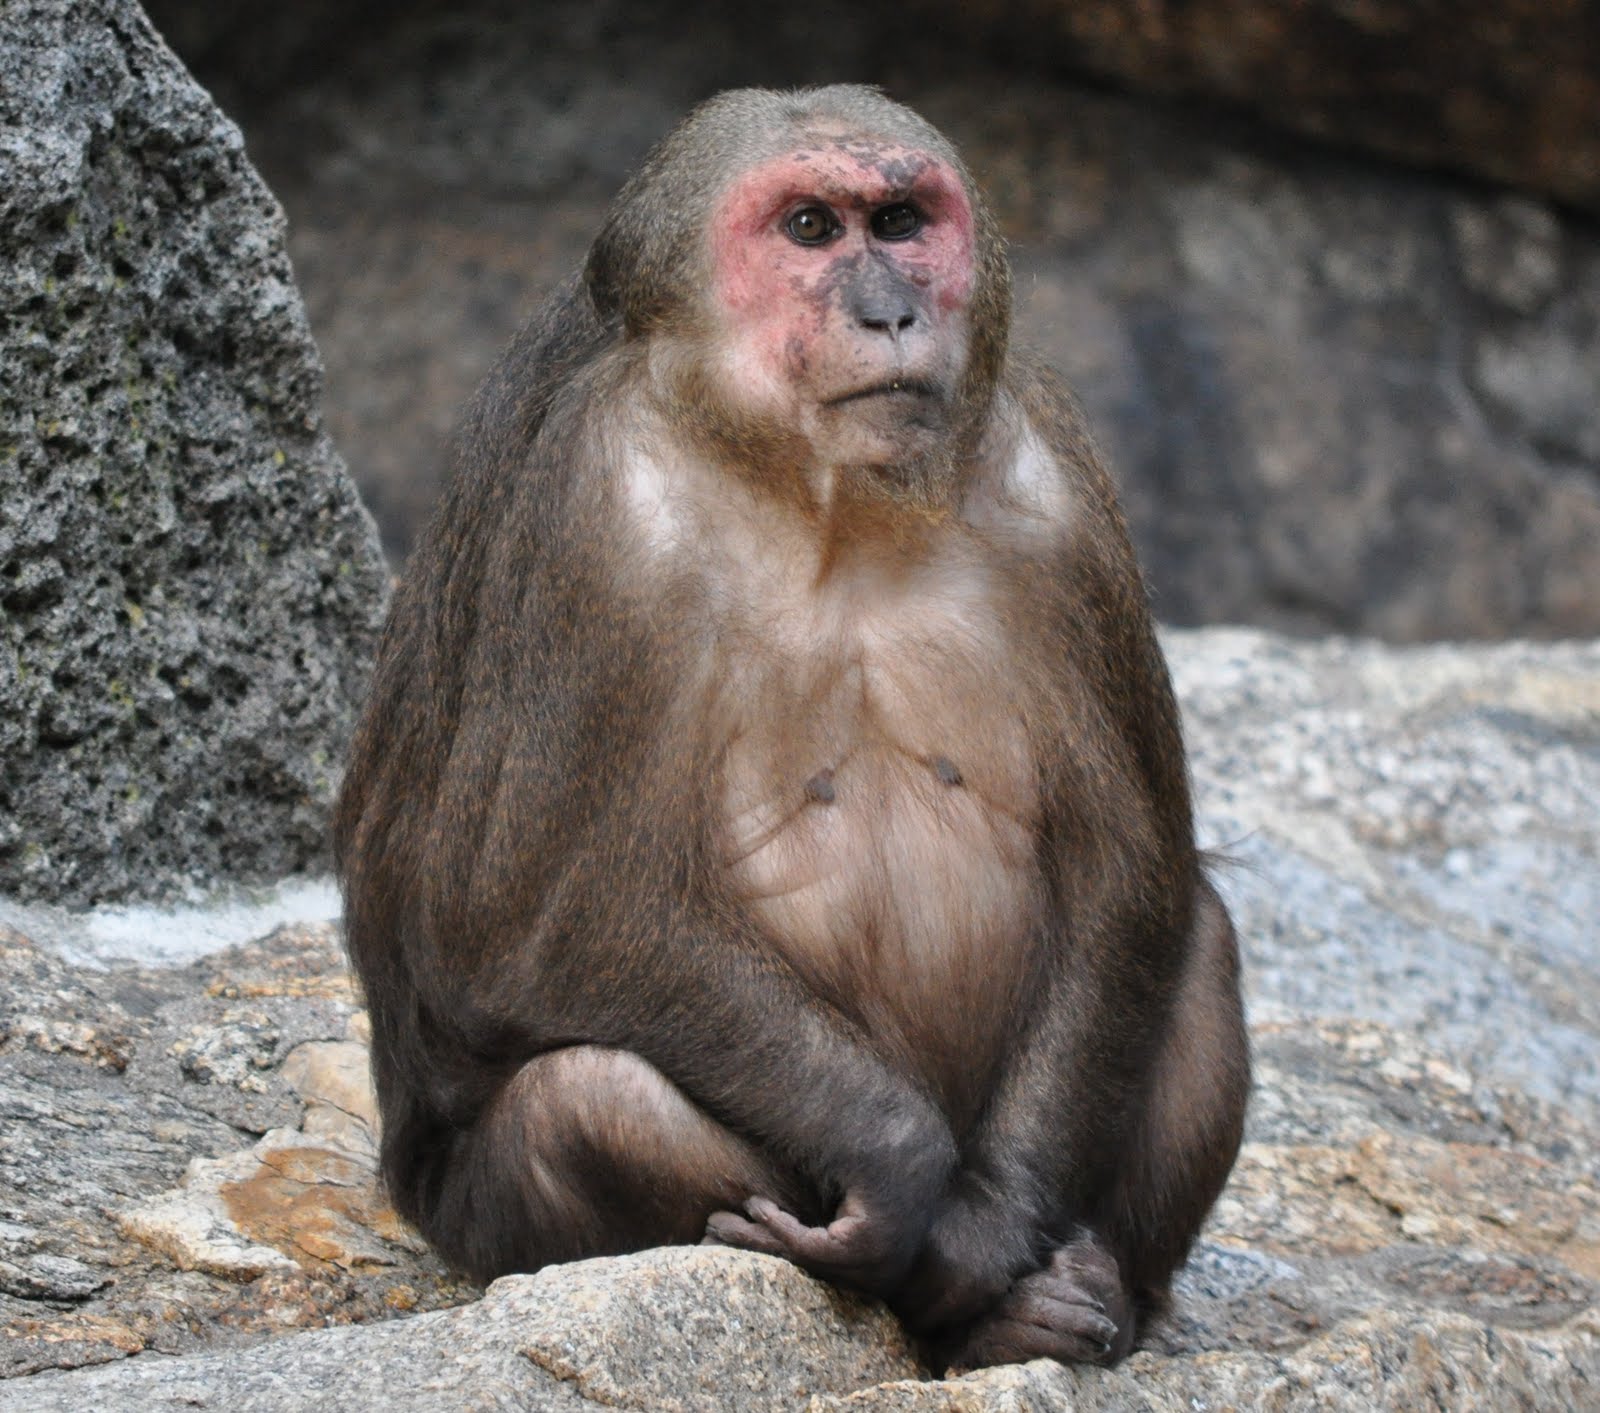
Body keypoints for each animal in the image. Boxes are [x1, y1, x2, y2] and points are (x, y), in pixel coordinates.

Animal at [334, 84, 1249, 1370]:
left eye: (902, 221)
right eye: (810, 228)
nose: (889, 309)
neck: (815, 493)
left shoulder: (1054, 483)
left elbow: (1128, 869)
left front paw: (989, 1218)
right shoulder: (595, 514)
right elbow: (513, 928)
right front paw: (899, 1165)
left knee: (1195, 936)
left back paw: (1046, 1299)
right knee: (588, 1099)